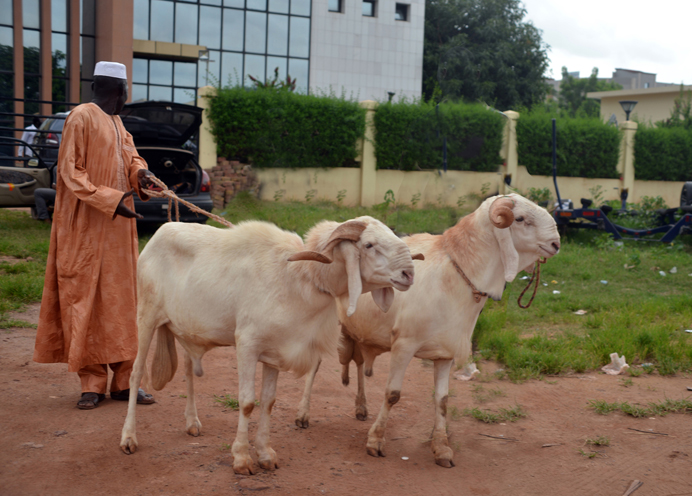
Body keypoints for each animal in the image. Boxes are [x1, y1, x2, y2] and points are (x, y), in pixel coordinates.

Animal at [119, 216, 423, 475]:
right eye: (369, 245)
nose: (409, 274)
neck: (299, 277)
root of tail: (160, 232)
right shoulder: (247, 346)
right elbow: (246, 403)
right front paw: (242, 459)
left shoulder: (274, 353)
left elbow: (268, 403)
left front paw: (266, 455)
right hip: (146, 317)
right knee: (135, 375)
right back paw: (129, 438)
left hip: (185, 329)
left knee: (186, 370)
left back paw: (192, 423)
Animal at [294, 194, 561, 468]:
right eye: (520, 219)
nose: (556, 244)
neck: (453, 278)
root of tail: (321, 232)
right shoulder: (404, 345)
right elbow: (392, 394)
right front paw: (375, 442)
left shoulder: (445, 353)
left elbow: (442, 401)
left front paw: (441, 448)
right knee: (315, 365)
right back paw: (303, 415)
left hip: (358, 329)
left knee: (358, 363)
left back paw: (361, 407)